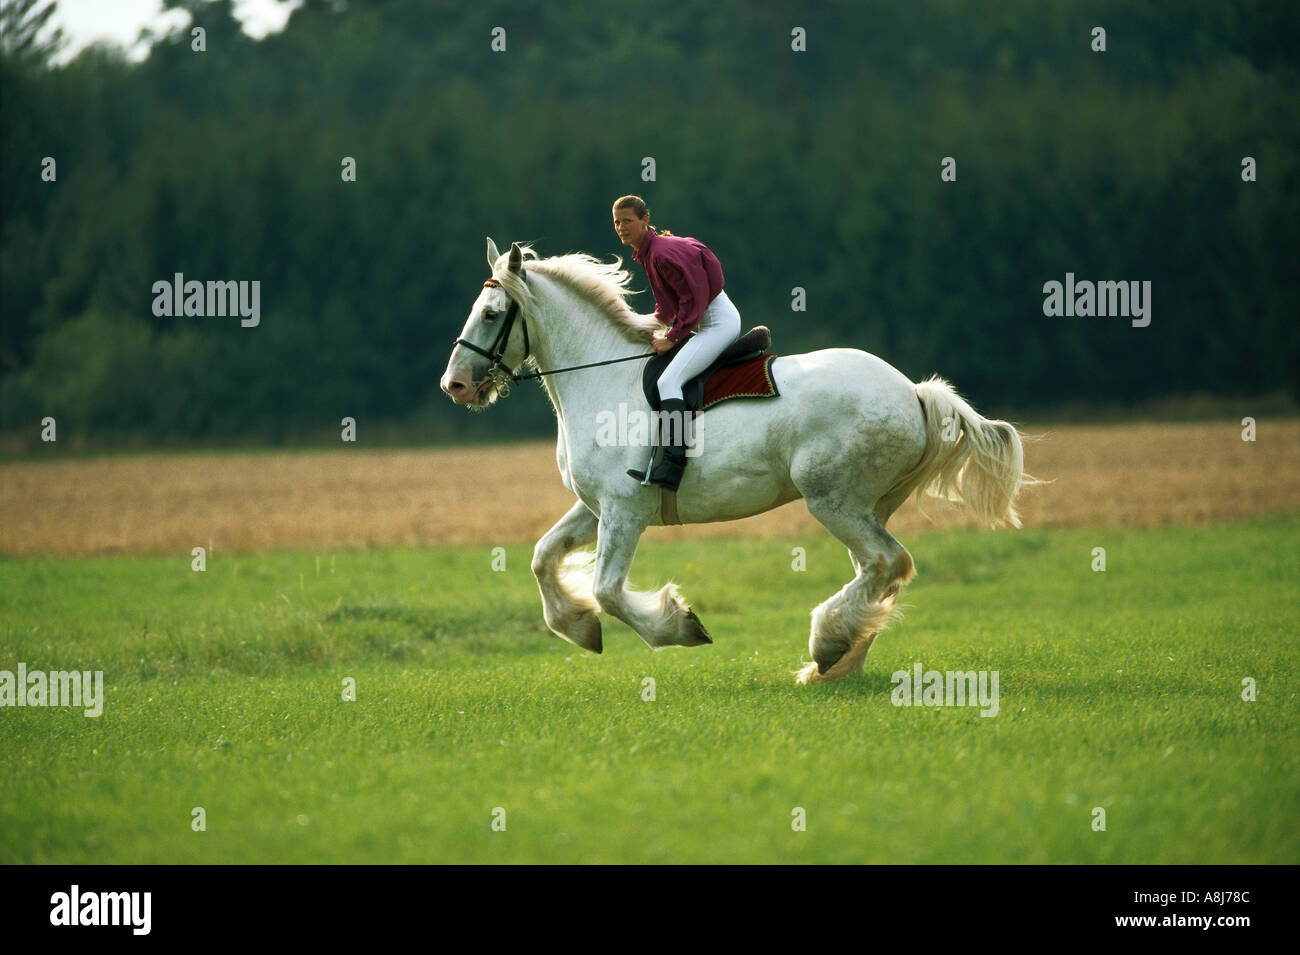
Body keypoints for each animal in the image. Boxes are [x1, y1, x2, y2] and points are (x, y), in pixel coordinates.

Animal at [441, 239, 1031, 683]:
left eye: (491, 314)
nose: (456, 385)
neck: (601, 378)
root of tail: (913, 391)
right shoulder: (595, 508)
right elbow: (543, 558)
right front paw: (579, 628)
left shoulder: (625, 511)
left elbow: (608, 590)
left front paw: (680, 626)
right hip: (868, 506)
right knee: (879, 571)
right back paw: (838, 661)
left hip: (833, 501)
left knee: (889, 562)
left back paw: (826, 648)